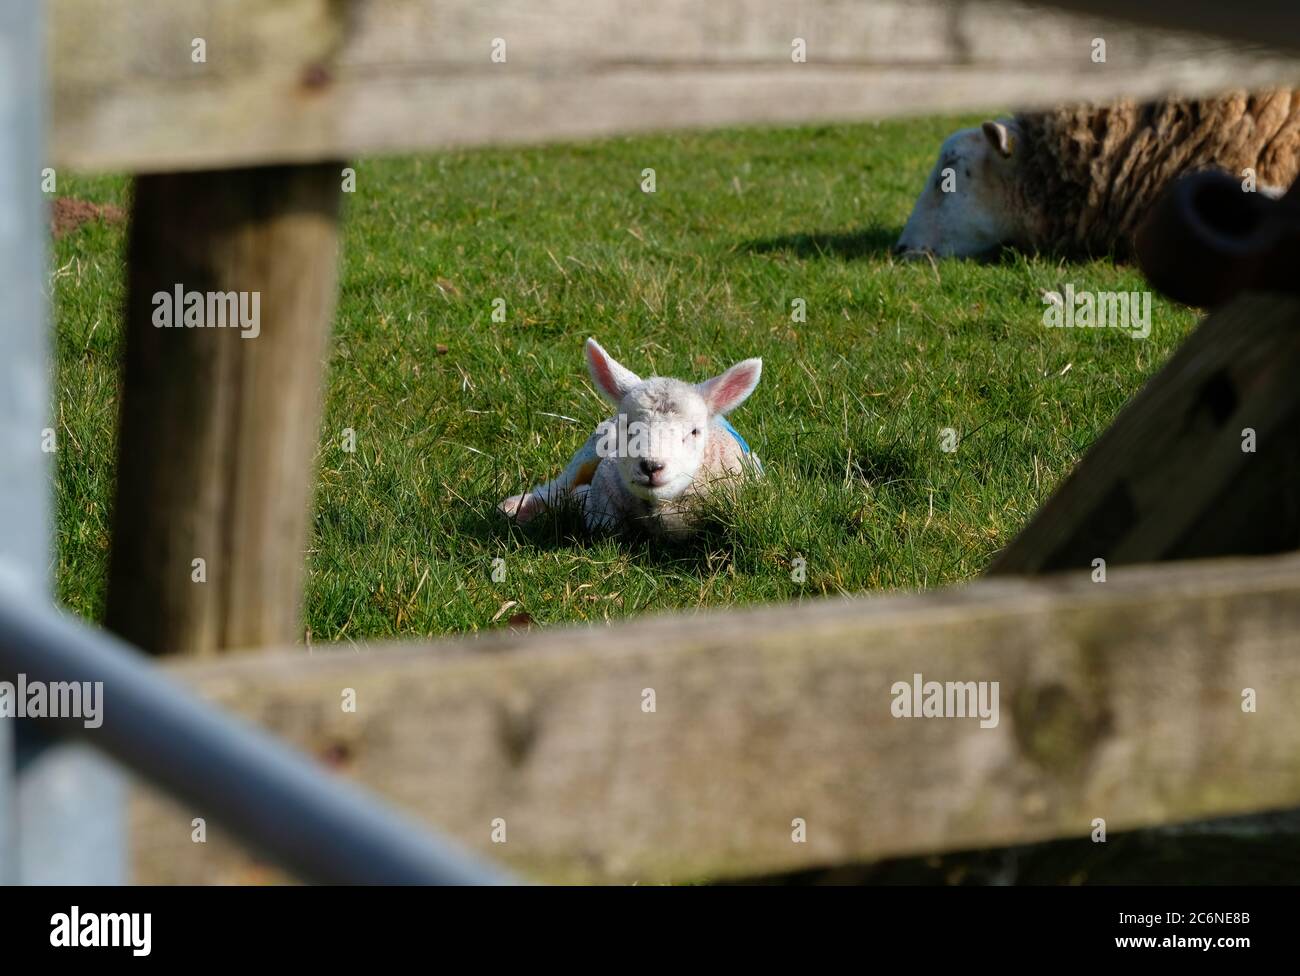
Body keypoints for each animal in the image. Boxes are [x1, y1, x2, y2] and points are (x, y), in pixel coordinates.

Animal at [499, 339, 763, 537]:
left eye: (694, 431)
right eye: (628, 426)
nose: (651, 466)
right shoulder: (604, 485)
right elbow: (603, 521)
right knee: (559, 486)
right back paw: (516, 508)